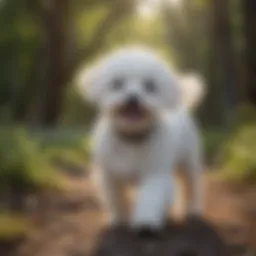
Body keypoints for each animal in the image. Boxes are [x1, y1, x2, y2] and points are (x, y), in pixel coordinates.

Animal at [80, 46, 204, 230]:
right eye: (117, 83)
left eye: (149, 86)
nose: (133, 98)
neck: (132, 138)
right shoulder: (109, 174)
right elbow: (115, 197)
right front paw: (119, 218)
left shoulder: (155, 172)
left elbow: (151, 196)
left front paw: (146, 222)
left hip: (188, 161)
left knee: (191, 185)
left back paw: (192, 210)